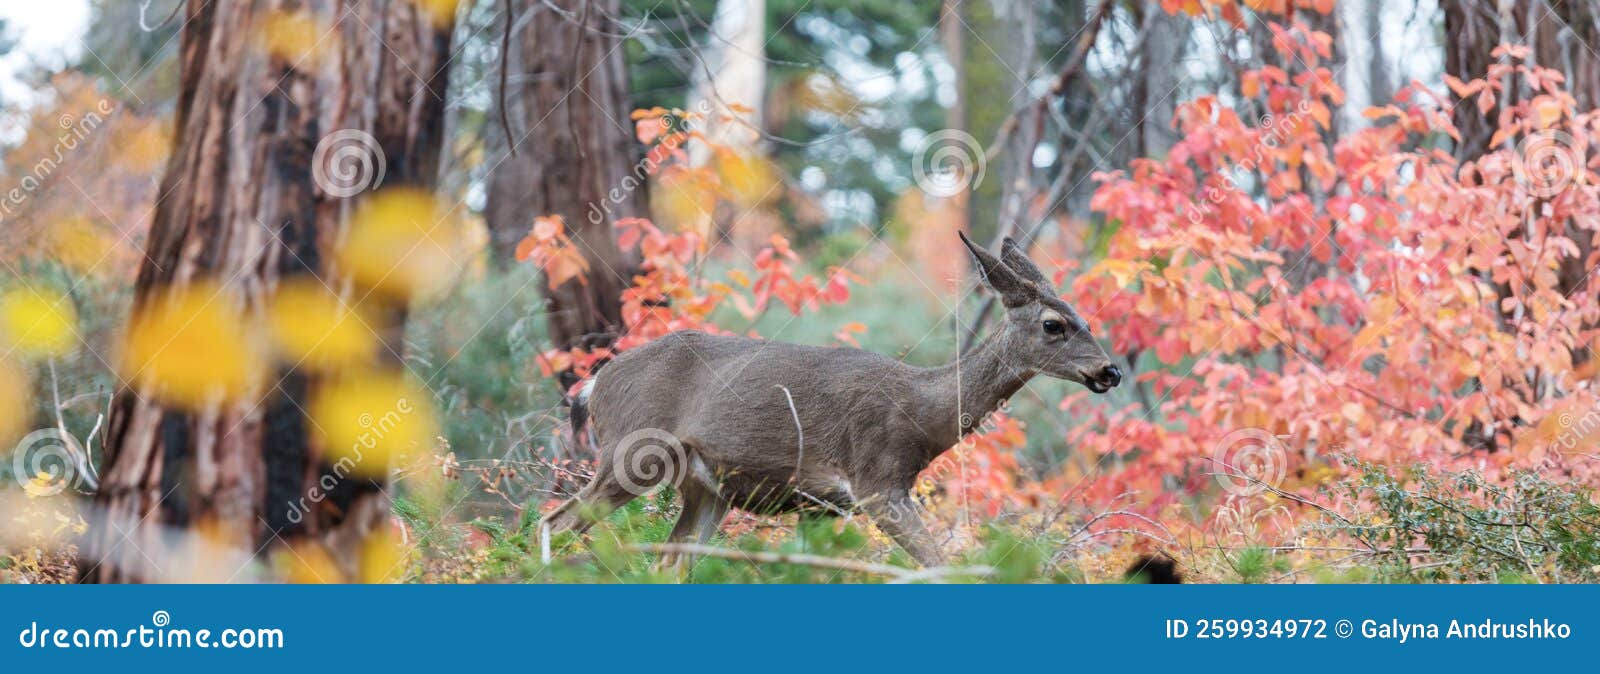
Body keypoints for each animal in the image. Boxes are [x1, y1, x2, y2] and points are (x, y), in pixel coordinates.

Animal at [538, 232, 1122, 568]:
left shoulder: (822, 505)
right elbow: (941, 564)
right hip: (632, 453)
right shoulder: (876, 482)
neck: (920, 414)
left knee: (666, 562)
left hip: (705, 488)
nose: (1110, 371)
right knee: (554, 522)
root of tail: (594, 385)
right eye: (1054, 324)